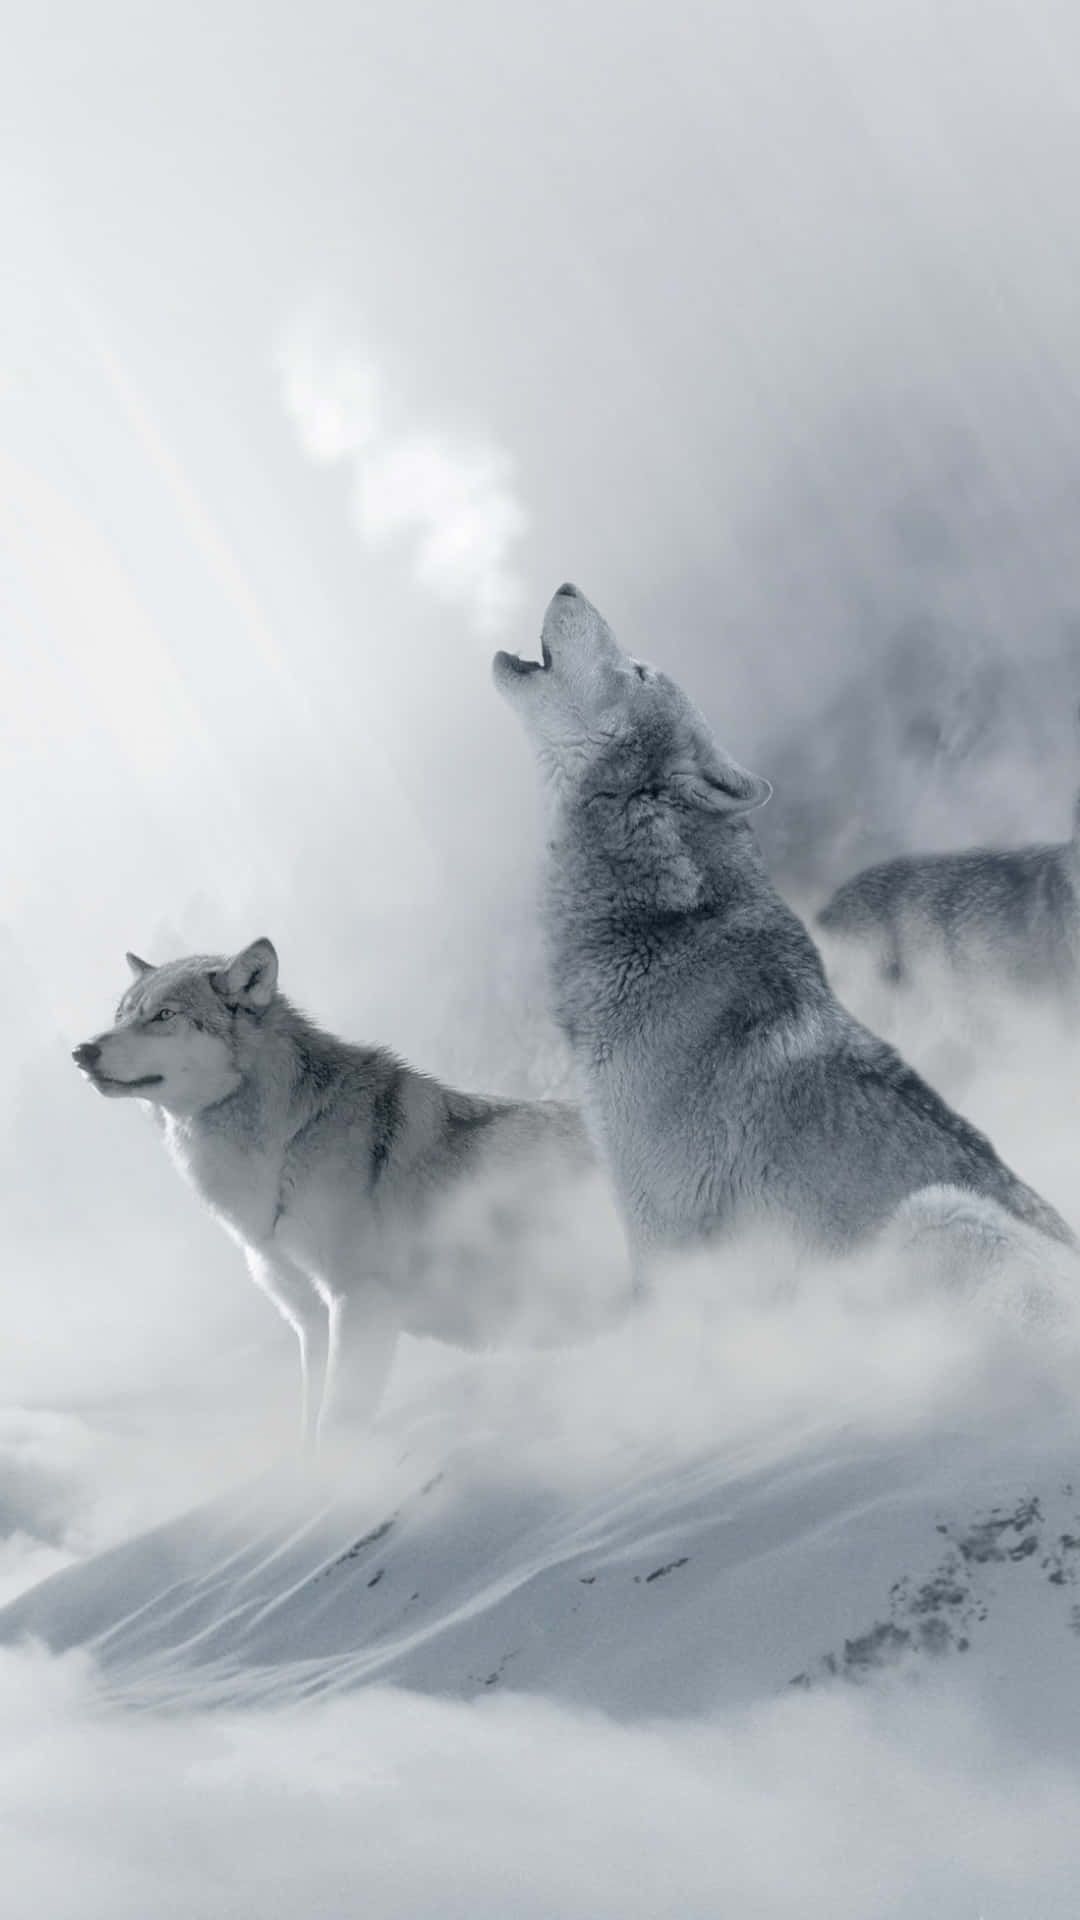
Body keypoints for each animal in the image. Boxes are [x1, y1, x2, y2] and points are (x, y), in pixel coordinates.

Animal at [72, 939, 629, 1447]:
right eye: (120, 1016)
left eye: (163, 1015)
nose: (82, 1052)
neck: (285, 1144)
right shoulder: (311, 1323)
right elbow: (309, 1431)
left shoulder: (359, 1303)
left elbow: (336, 1427)